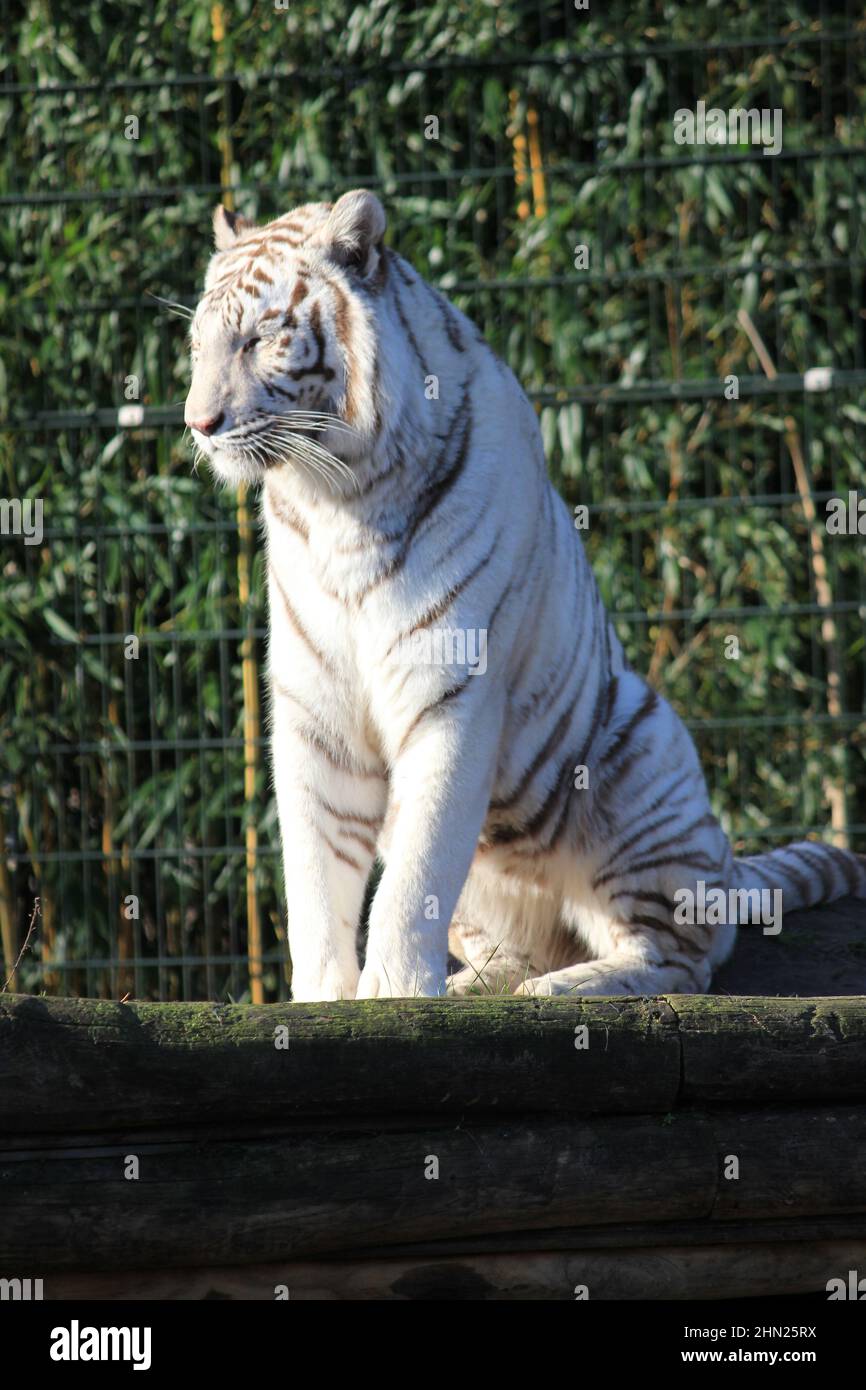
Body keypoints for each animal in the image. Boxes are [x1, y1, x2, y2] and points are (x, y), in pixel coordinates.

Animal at [184, 188, 866, 1000]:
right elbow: (316, 876)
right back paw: (484, 982)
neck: (335, 499)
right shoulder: (316, 708)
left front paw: (393, 994)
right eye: (198, 346)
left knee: (679, 958)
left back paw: (569, 986)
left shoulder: (450, 688)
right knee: (524, 946)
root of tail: (730, 870)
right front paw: (325, 999)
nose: (198, 423)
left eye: (261, 338)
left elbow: (415, 869)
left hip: (643, 749)